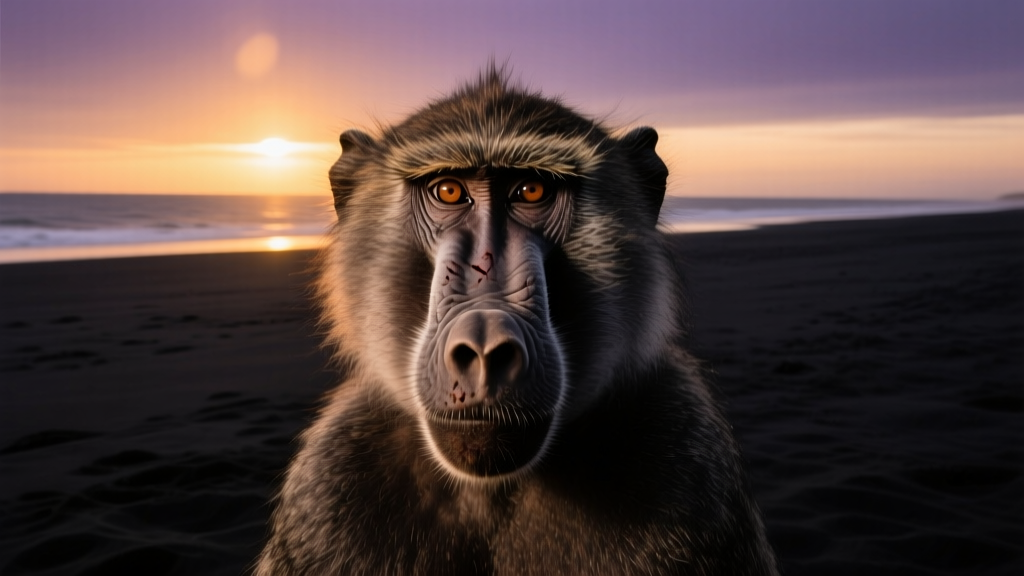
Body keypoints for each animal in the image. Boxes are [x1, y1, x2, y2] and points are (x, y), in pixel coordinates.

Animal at [255, 68, 779, 576]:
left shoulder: (689, 466)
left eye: (532, 190)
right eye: (449, 191)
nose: (485, 347)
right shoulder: (329, 488)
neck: (494, 490)